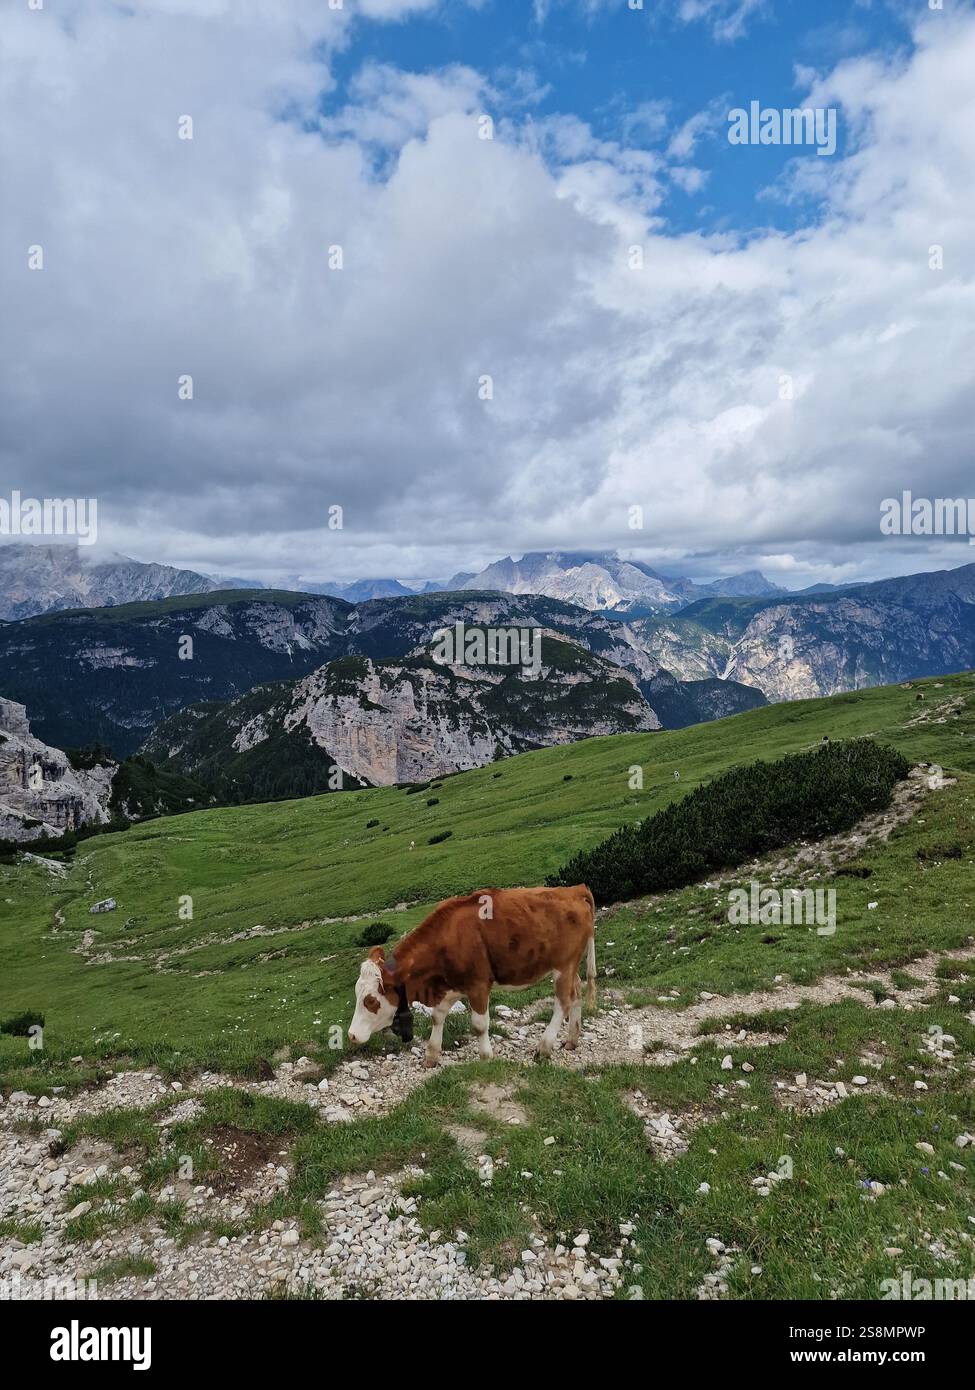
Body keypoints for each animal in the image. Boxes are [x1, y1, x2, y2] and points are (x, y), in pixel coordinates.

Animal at [347, 884, 596, 1068]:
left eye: (370, 1000)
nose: (351, 1035)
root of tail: (575, 889)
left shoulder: (478, 984)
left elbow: (479, 1025)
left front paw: (486, 1057)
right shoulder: (451, 984)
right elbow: (437, 1016)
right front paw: (431, 1055)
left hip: (563, 965)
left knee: (563, 1002)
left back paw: (544, 1048)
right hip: (571, 964)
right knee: (576, 993)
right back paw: (572, 1040)